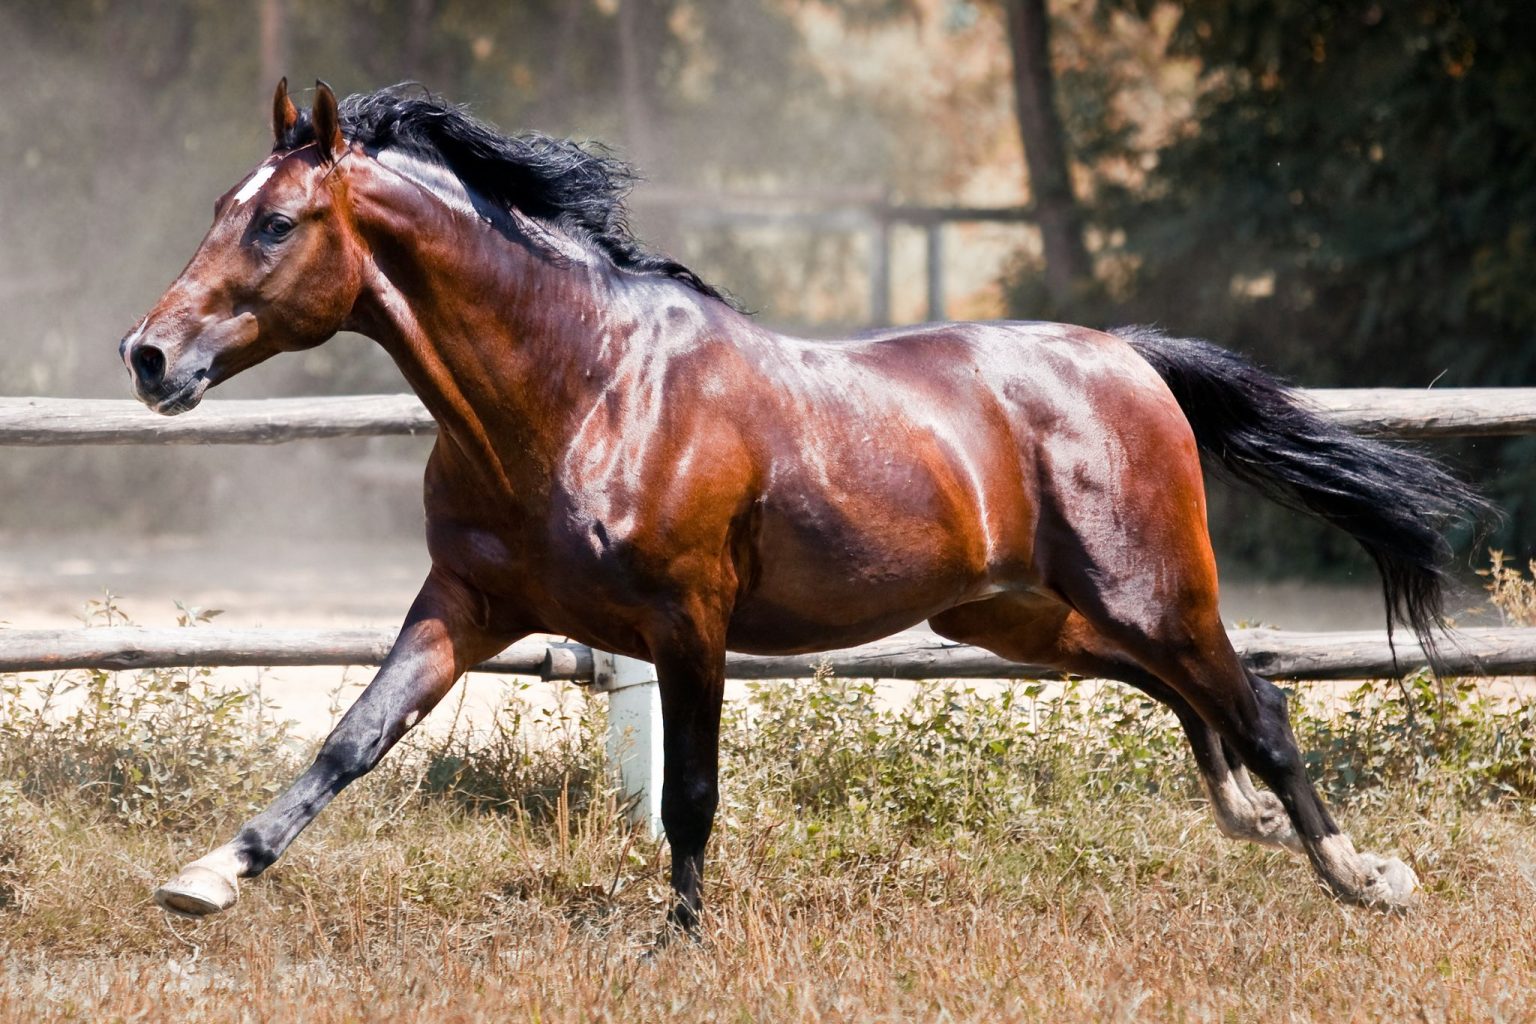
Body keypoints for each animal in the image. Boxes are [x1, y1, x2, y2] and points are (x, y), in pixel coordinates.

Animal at [123, 79, 1485, 932]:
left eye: (278, 222)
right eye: (217, 209)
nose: (148, 357)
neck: (583, 387)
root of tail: (1126, 357)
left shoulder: (689, 622)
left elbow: (691, 795)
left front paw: (677, 946)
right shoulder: (467, 602)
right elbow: (352, 738)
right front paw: (205, 878)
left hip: (1150, 589)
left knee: (1258, 703)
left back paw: (1364, 876)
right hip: (1021, 619)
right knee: (1184, 695)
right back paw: (1255, 824)